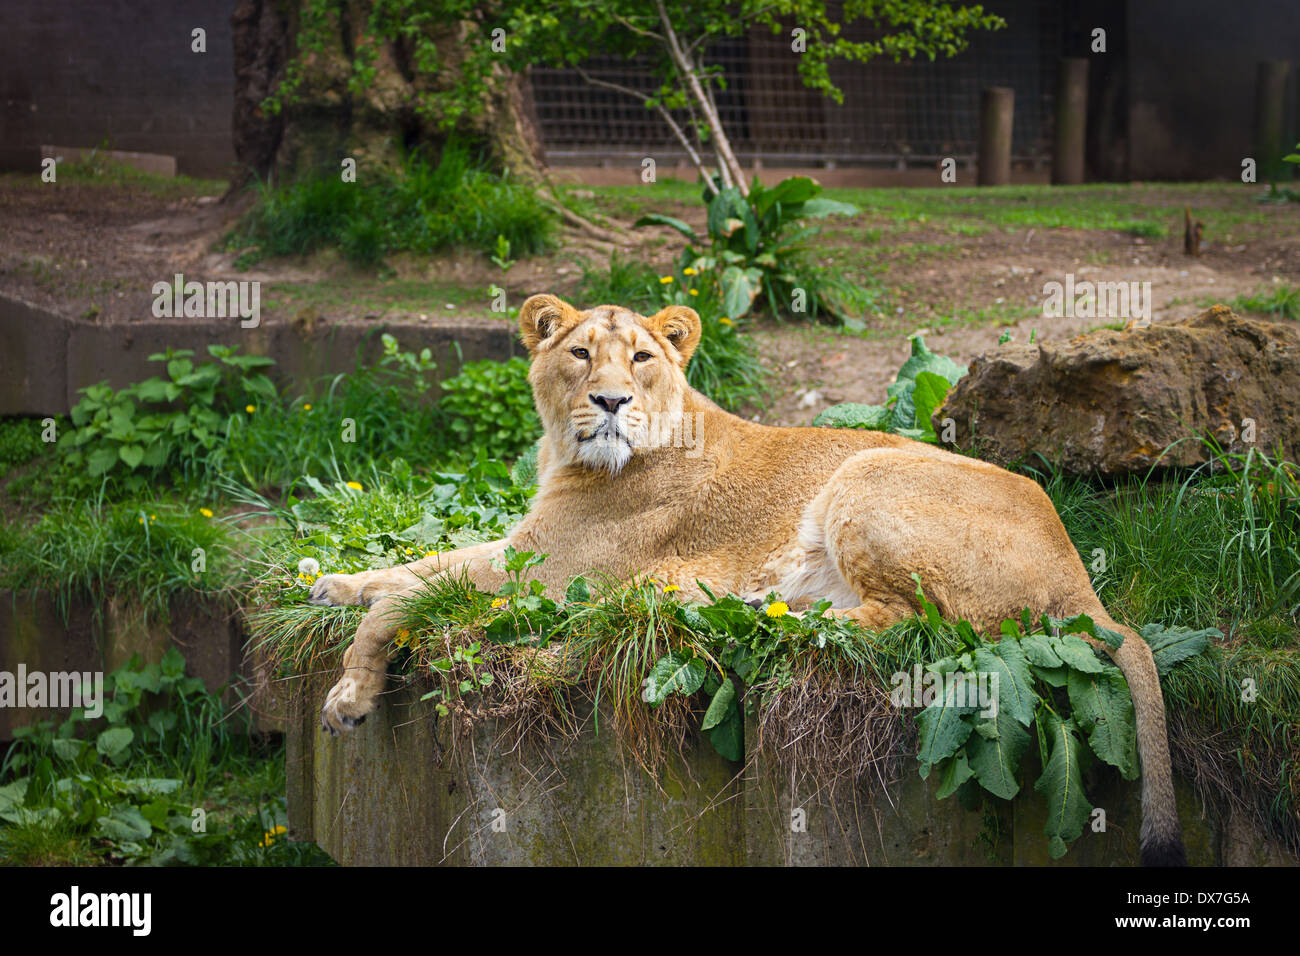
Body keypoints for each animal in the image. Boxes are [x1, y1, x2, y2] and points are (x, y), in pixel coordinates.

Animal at [311, 293, 1185, 866]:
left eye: (642, 358)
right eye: (579, 354)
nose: (611, 401)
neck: (567, 453)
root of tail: (1080, 575)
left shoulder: (558, 577)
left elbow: (415, 594)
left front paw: (349, 694)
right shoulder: (528, 549)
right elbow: (423, 566)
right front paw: (330, 583)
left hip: (867, 470)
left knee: (919, 623)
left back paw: (770, 614)